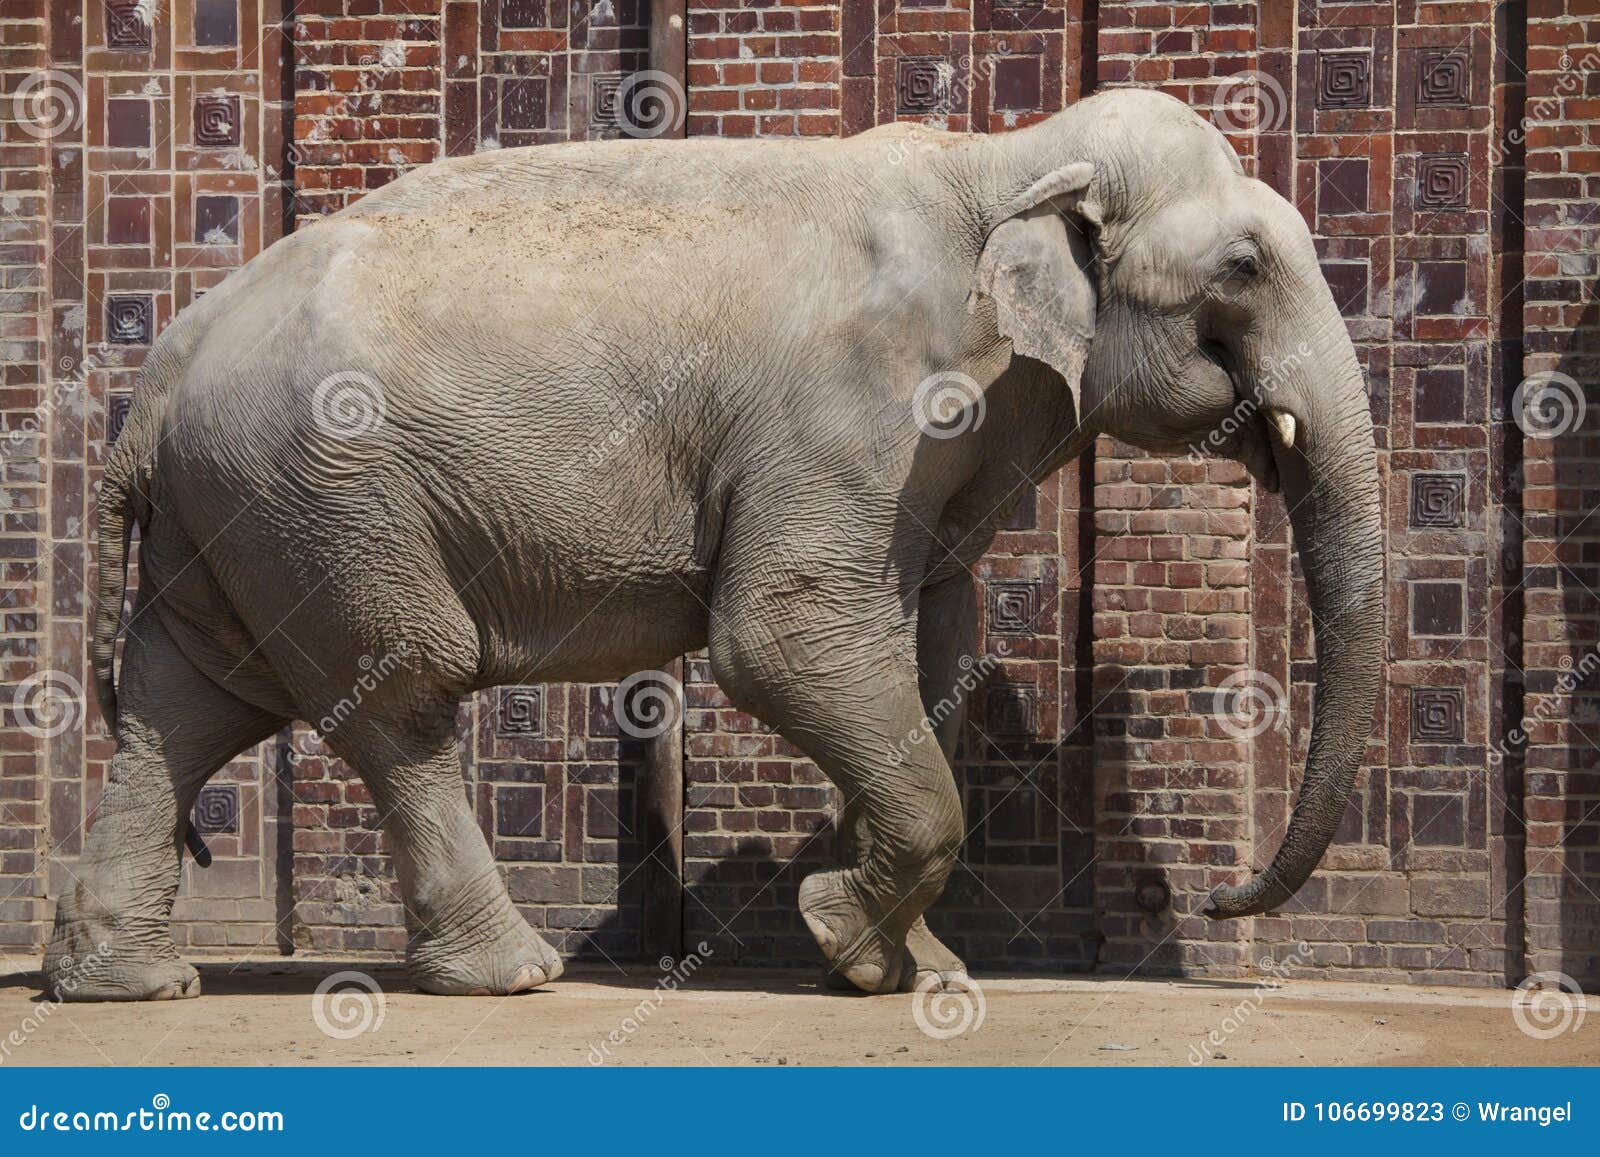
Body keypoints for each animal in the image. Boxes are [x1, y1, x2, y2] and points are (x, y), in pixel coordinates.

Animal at [43, 85, 1382, 1002]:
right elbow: (780, 636)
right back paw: (513, 974)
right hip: (325, 500)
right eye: (1242, 266)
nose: (1217, 897)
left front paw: (911, 964)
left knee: (183, 703)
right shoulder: (858, 411)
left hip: (240, 514)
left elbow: (935, 649)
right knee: (400, 695)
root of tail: (159, 378)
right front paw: (849, 941)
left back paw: (126, 984)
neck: (999, 157)